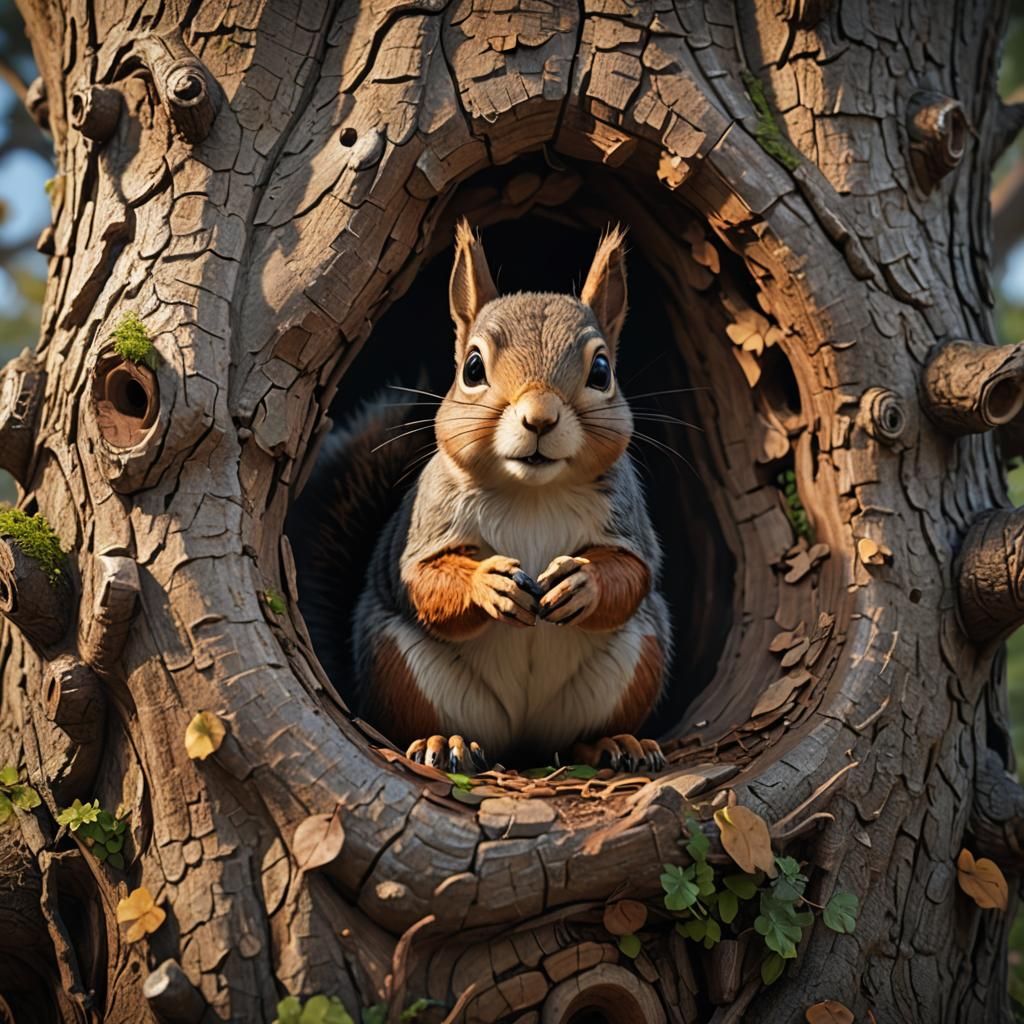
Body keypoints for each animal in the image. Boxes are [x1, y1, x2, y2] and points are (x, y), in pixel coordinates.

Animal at [296, 220, 671, 774]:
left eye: (602, 371)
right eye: (472, 368)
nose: (540, 418)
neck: (531, 494)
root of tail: (521, 745)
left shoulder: (628, 520)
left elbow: (632, 572)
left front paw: (581, 582)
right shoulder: (427, 522)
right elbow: (422, 580)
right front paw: (487, 584)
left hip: (635, 659)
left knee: (575, 738)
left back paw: (614, 743)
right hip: (402, 667)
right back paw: (443, 741)